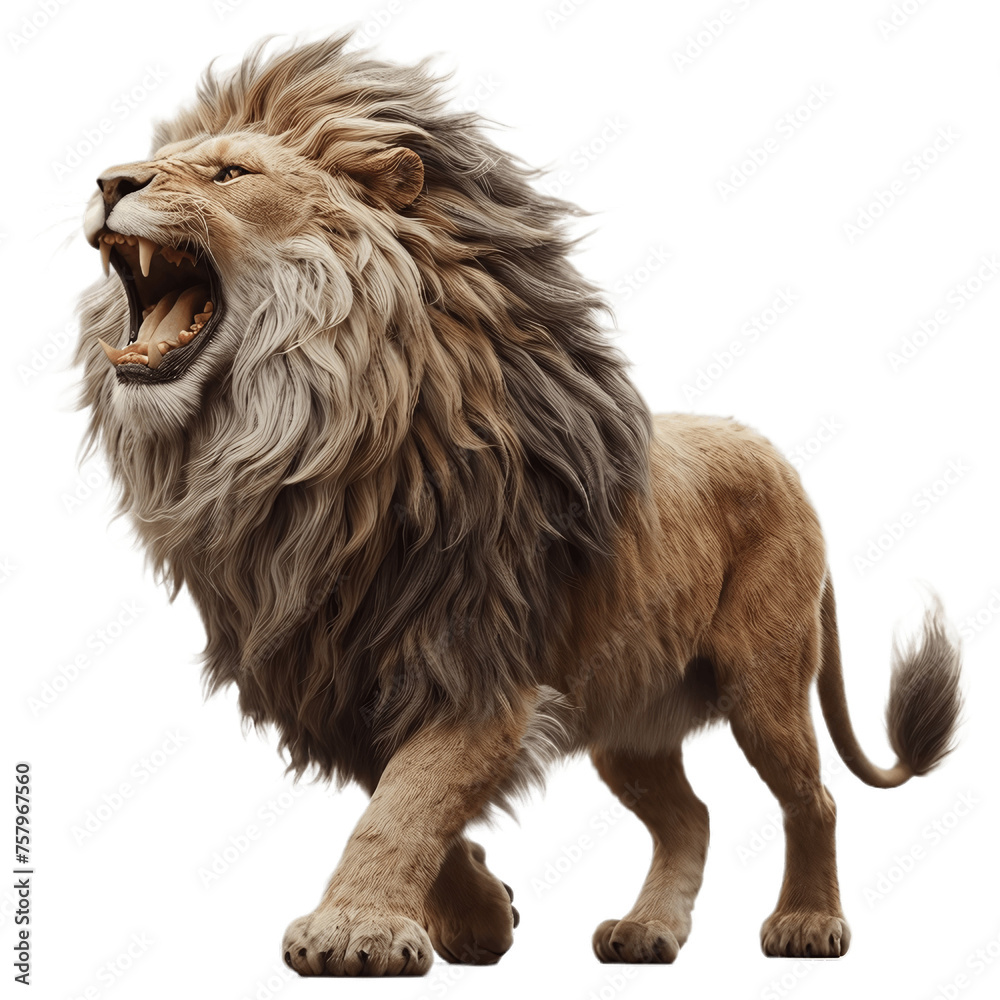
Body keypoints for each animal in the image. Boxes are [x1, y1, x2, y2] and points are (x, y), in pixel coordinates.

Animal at [74, 35, 962, 974]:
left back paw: (807, 924)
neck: (313, 453)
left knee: (814, 797)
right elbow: (409, 802)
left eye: (230, 172)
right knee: (690, 815)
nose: (109, 181)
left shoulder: (479, 665)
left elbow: (406, 802)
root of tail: (773, 452)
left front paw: (354, 931)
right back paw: (648, 931)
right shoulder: (341, 678)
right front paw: (478, 918)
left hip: (763, 680)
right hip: (630, 721)